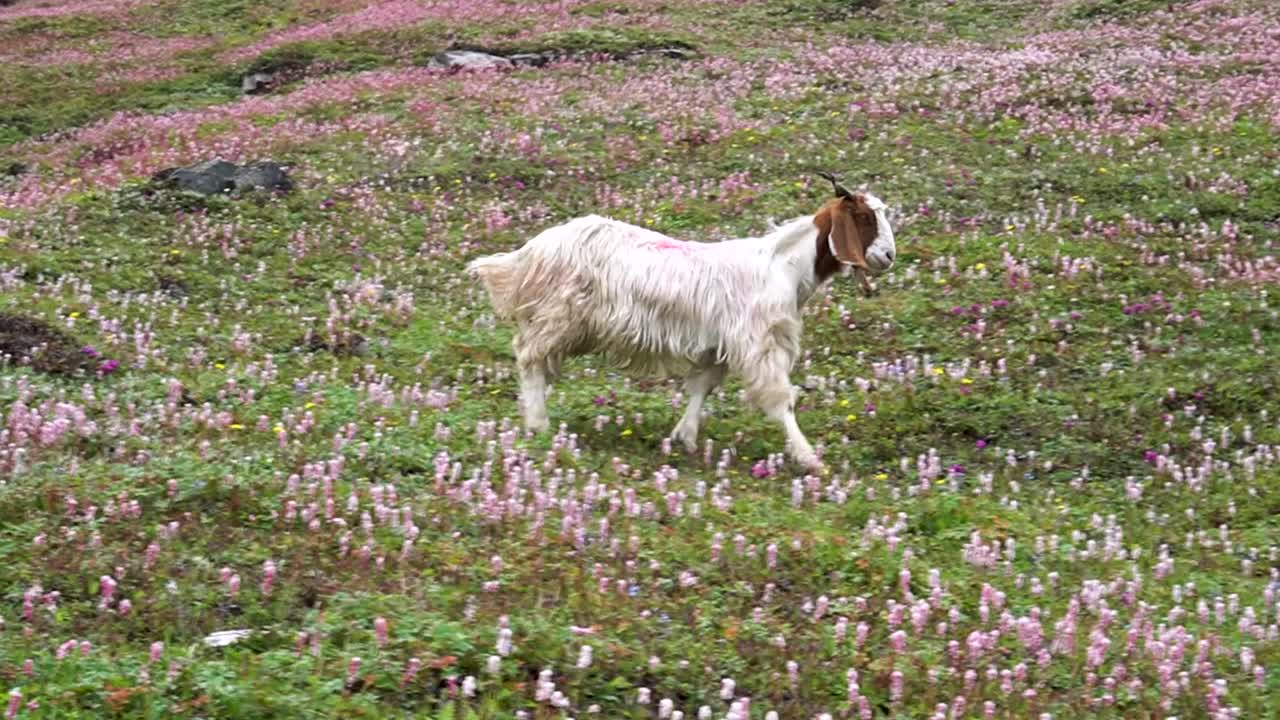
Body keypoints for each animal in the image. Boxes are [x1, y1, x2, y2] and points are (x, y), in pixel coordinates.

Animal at [466, 173, 896, 471]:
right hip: (560, 315)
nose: (889, 256)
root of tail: (532, 251)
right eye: (862, 217)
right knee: (529, 358)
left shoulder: (719, 343)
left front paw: (685, 438)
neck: (783, 266)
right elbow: (780, 400)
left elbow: (701, 388)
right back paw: (538, 422)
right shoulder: (758, 341)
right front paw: (809, 458)